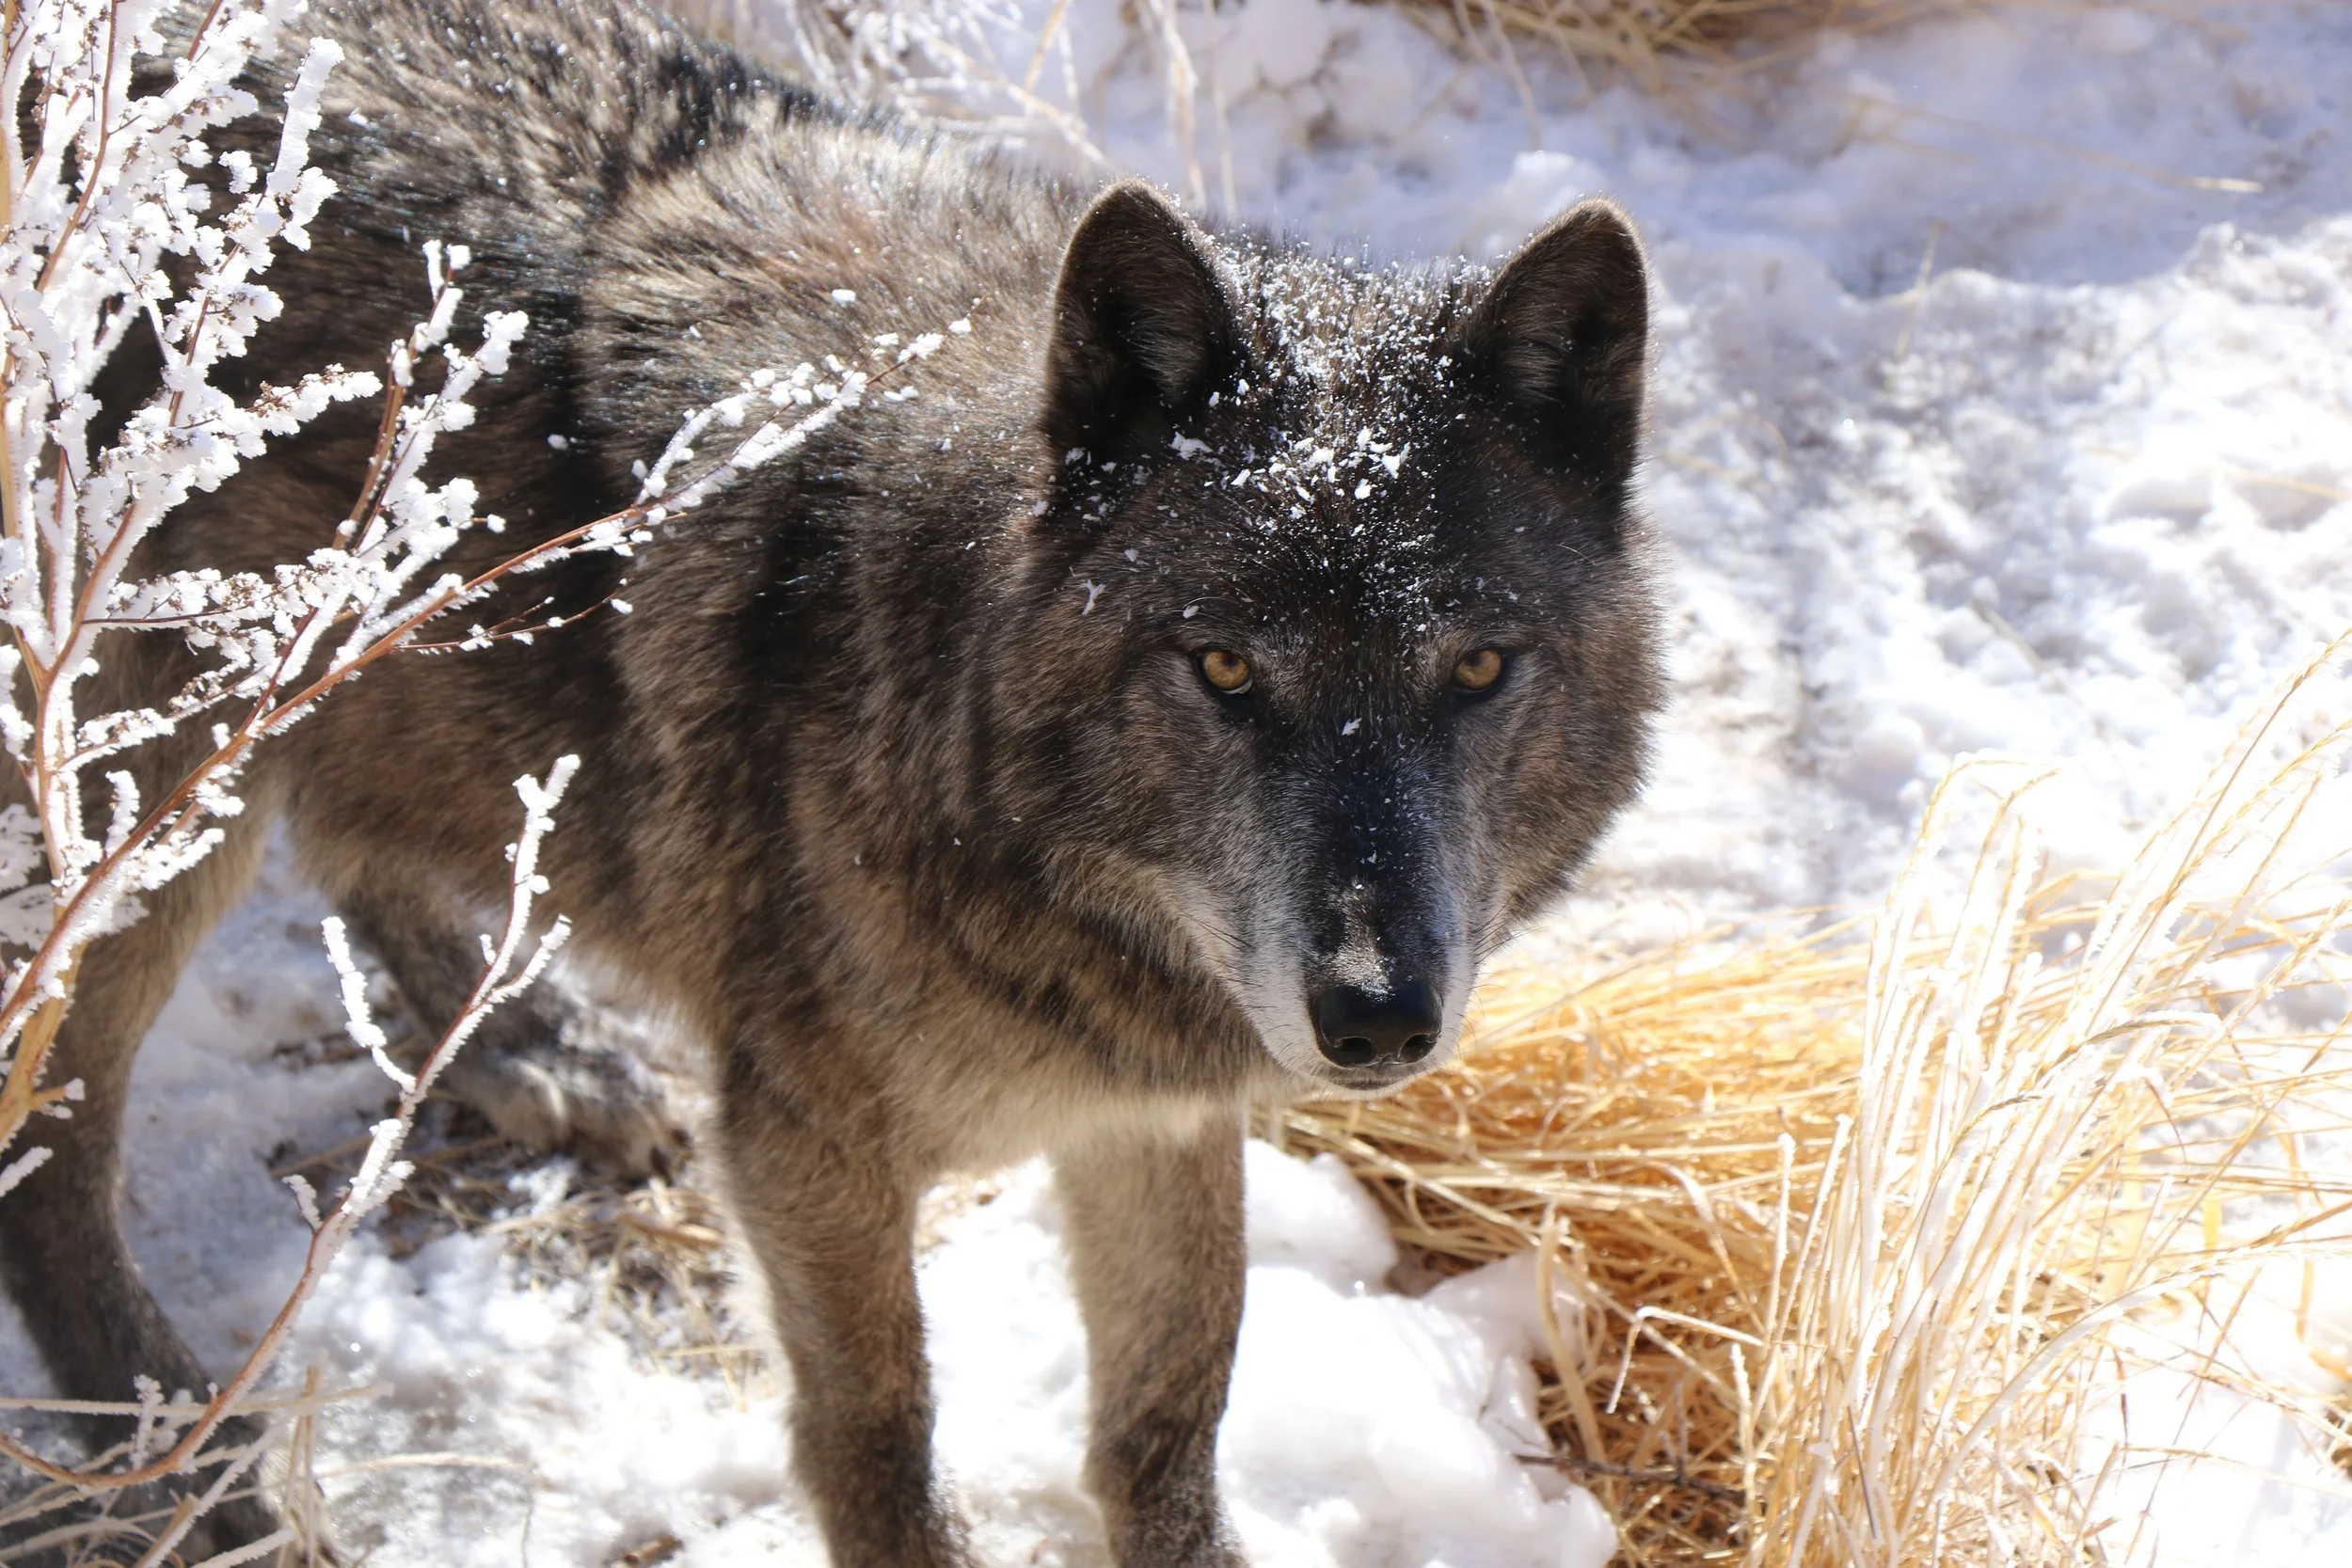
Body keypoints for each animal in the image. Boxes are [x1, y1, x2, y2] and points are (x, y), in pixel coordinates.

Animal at [0, 0, 1663, 1561]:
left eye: (1478, 668)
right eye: (1226, 668)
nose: (1376, 1013)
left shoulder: (1152, 1120)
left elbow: (1171, 1405)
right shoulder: (807, 1148)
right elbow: (879, 1429)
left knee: (360, 841)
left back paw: (534, 1053)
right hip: (154, 803)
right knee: (52, 1146)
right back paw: (187, 1467)